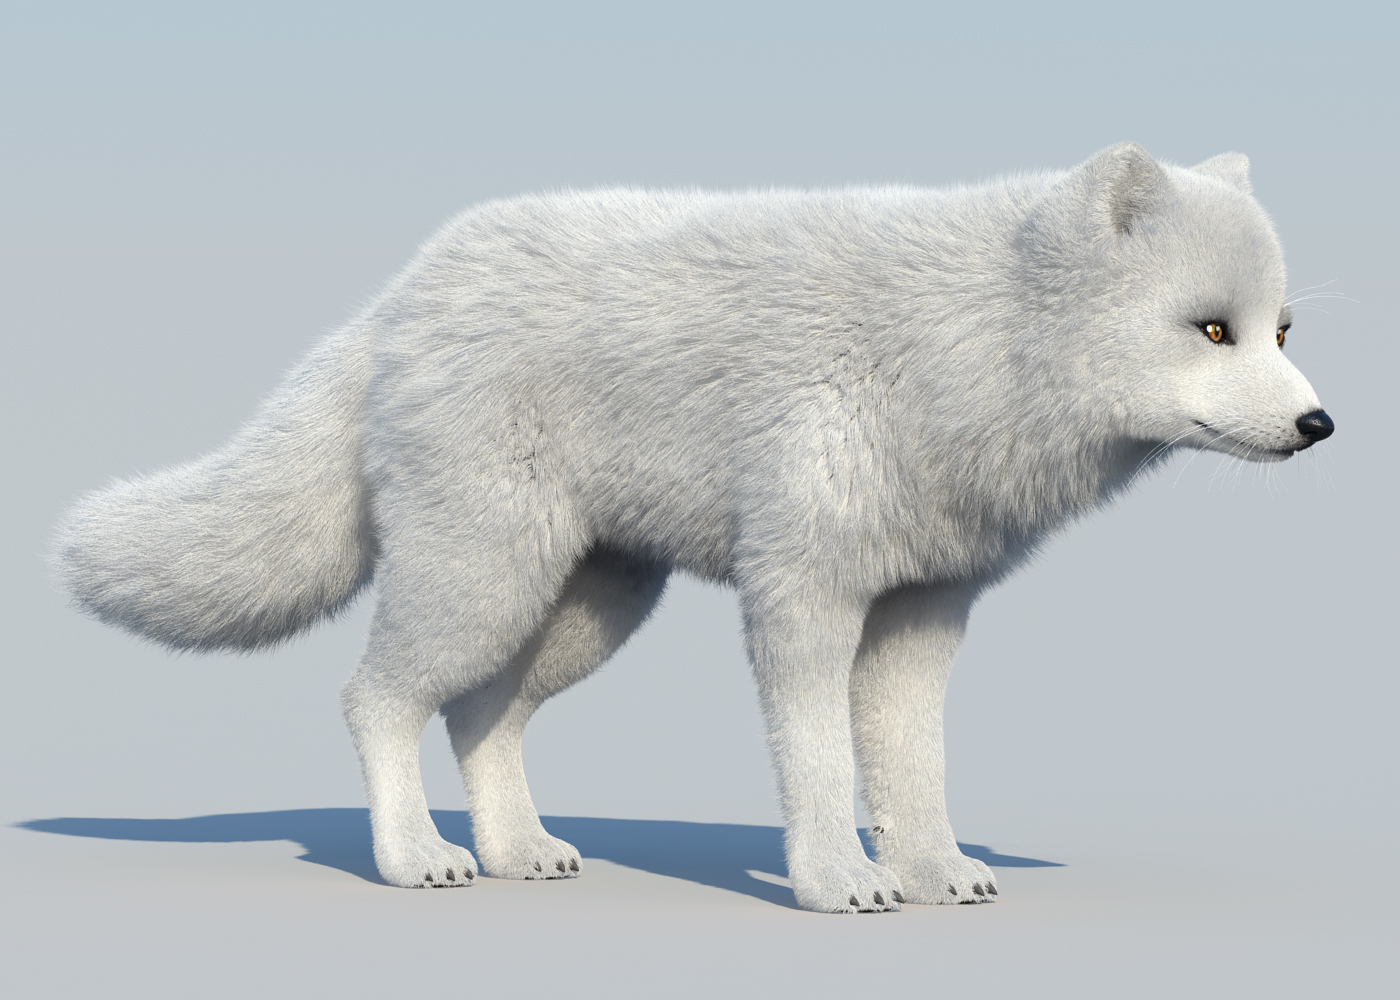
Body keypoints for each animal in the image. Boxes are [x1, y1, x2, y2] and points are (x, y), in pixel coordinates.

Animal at [54, 143, 1333, 913]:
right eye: (1209, 330)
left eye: (1278, 329)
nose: (1319, 424)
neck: (968, 338)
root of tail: (407, 289)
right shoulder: (800, 595)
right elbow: (818, 762)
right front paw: (835, 881)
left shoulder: (920, 612)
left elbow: (910, 765)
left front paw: (932, 871)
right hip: (484, 578)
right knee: (375, 698)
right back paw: (416, 856)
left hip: (586, 607)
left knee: (477, 716)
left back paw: (519, 850)